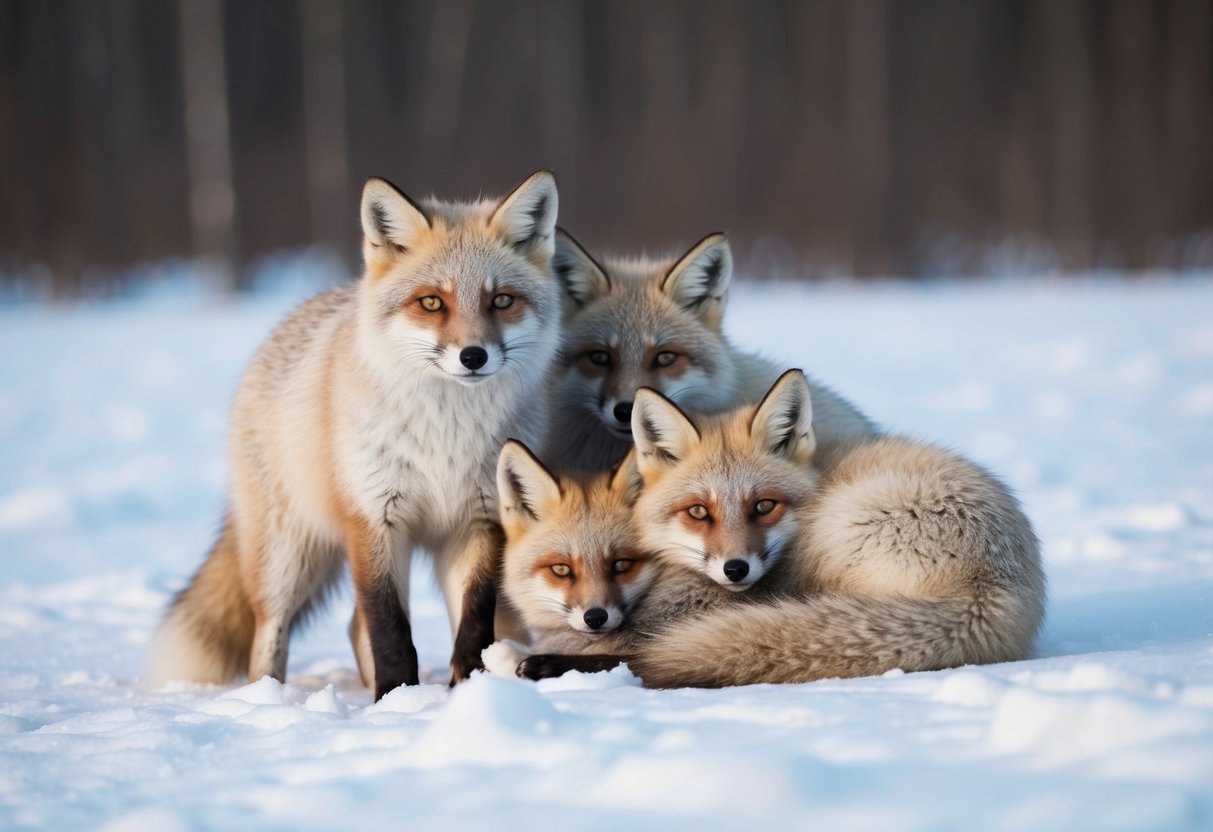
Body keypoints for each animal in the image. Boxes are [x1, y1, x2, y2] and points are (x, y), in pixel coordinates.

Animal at [150, 170, 563, 699]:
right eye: (432, 302)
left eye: (502, 301)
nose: (473, 356)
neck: (446, 436)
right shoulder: (374, 517)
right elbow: (389, 628)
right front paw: (395, 697)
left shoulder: (478, 521)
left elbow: (473, 623)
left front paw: (469, 689)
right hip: (288, 555)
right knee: (271, 632)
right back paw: (269, 697)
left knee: (351, 624)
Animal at [495, 371, 1047, 688]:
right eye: (699, 512)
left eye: (763, 506)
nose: (736, 569)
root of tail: (992, 591)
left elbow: (615, 645)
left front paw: (524, 656)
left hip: (832, 534)